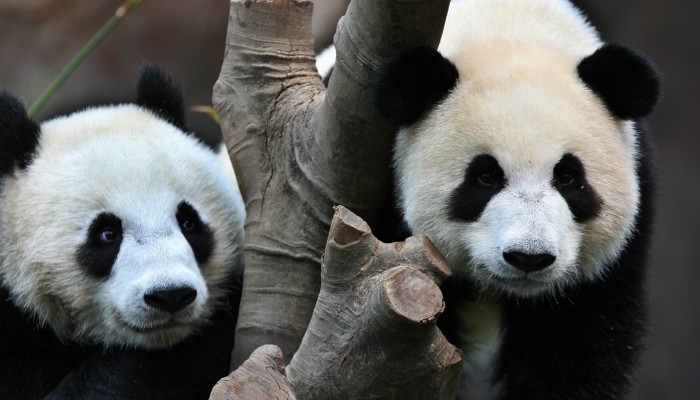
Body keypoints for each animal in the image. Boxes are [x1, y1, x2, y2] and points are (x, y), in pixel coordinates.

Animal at [370, 0, 660, 399]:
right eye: (486, 176)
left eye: (568, 177)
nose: (529, 257)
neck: (508, 32)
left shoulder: (619, 250)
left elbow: (581, 346)